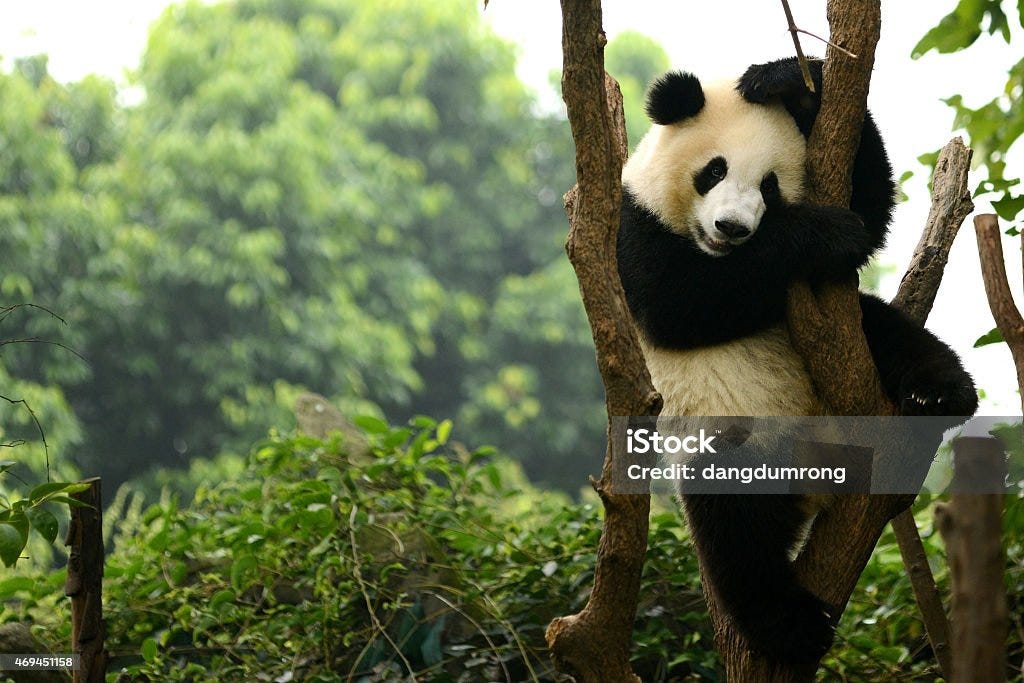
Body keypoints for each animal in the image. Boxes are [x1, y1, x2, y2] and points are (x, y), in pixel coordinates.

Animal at [616, 57, 978, 662]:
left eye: (771, 186)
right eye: (713, 171)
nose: (732, 228)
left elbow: (870, 205)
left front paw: (787, 81)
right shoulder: (630, 227)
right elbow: (677, 301)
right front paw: (822, 234)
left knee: (886, 329)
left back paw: (940, 394)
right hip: (732, 428)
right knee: (735, 521)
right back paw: (792, 627)